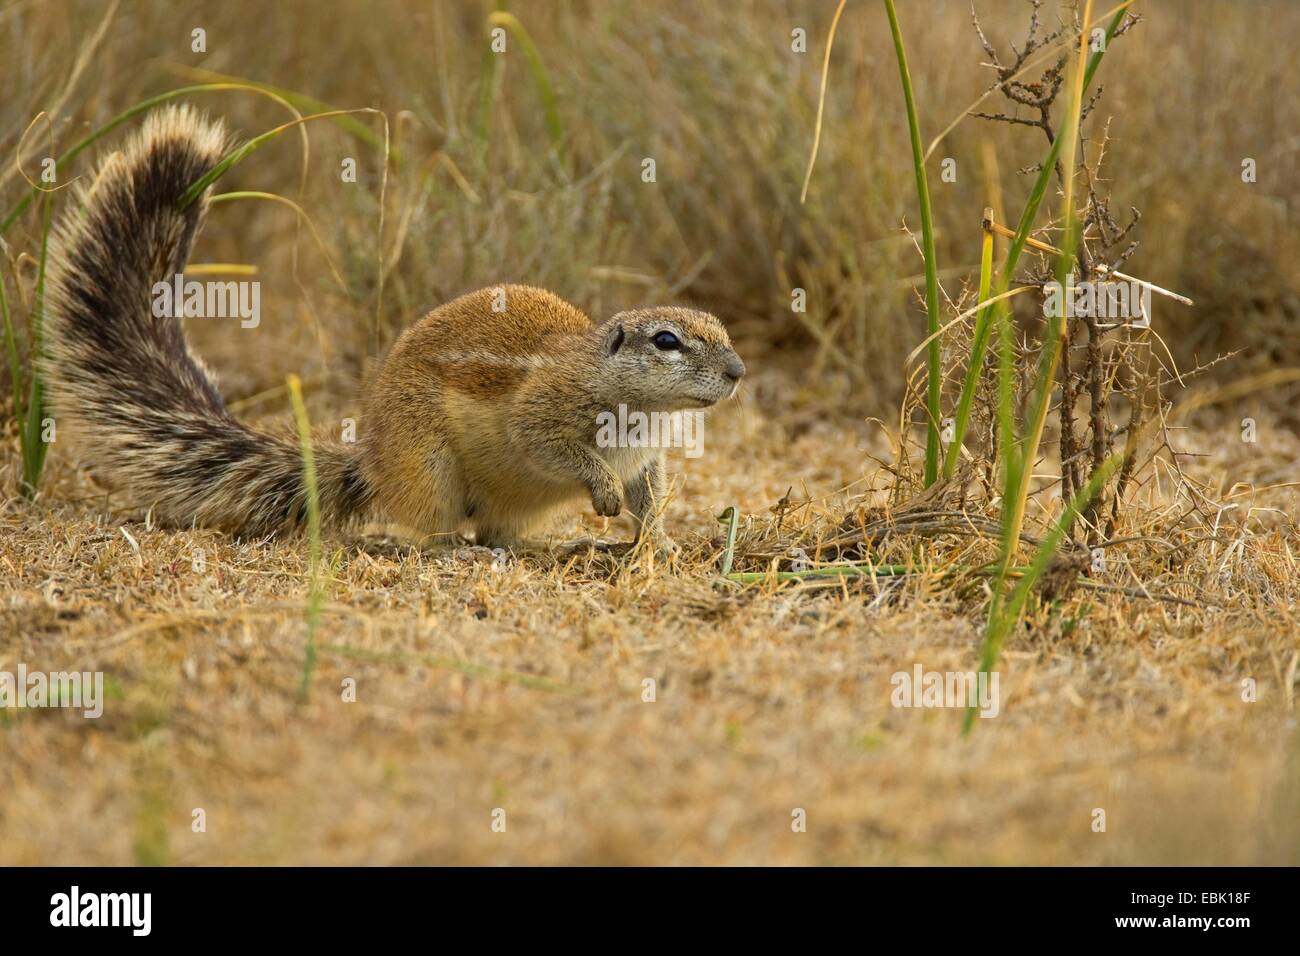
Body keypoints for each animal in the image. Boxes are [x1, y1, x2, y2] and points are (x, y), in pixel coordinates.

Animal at [42, 106, 745, 555]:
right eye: (667, 341)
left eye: (722, 330)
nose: (738, 373)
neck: (632, 405)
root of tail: (371, 459)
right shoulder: (543, 410)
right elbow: (554, 447)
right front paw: (602, 494)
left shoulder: (648, 455)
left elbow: (651, 492)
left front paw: (658, 540)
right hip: (428, 466)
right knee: (439, 531)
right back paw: (459, 550)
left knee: (499, 532)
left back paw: (564, 546)